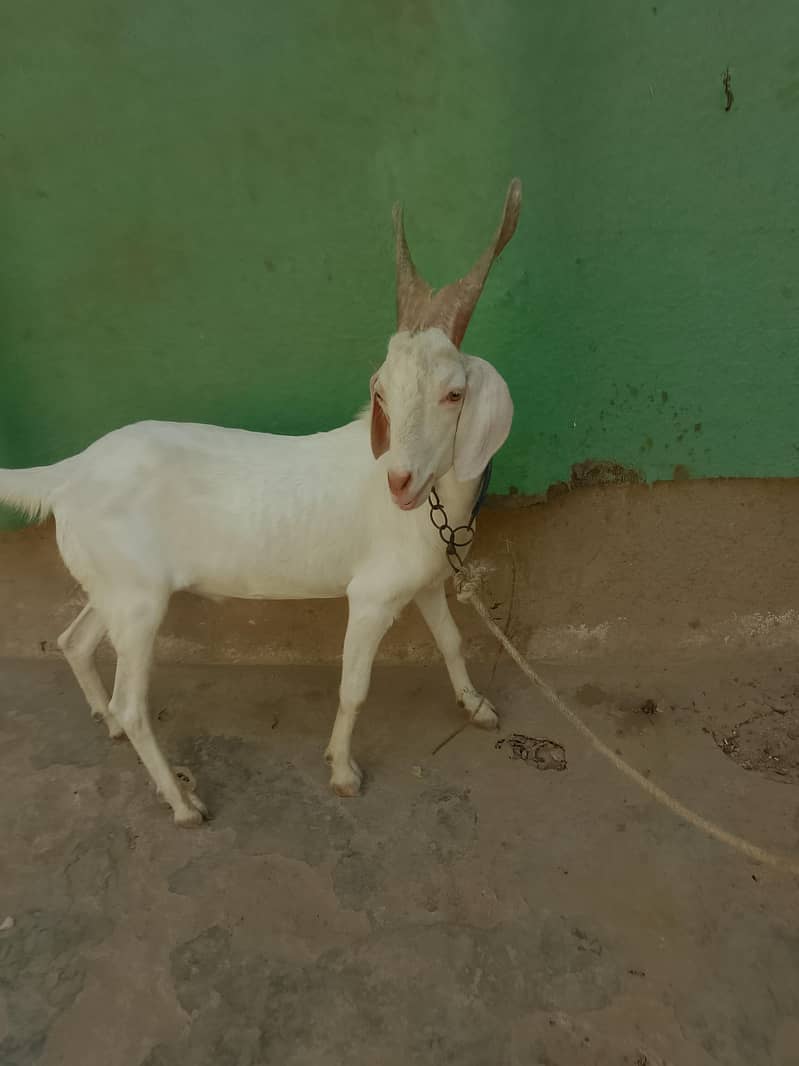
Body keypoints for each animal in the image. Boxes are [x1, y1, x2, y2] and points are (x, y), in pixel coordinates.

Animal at [0, 180, 521, 825]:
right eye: (381, 391)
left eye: (454, 394)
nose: (400, 481)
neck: (434, 506)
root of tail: (70, 471)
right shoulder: (372, 595)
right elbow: (354, 687)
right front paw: (342, 772)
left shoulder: (424, 581)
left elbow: (451, 641)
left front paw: (477, 707)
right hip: (139, 601)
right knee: (131, 704)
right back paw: (181, 802)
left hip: (117, 585)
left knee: (74, 641)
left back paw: (110, 726)